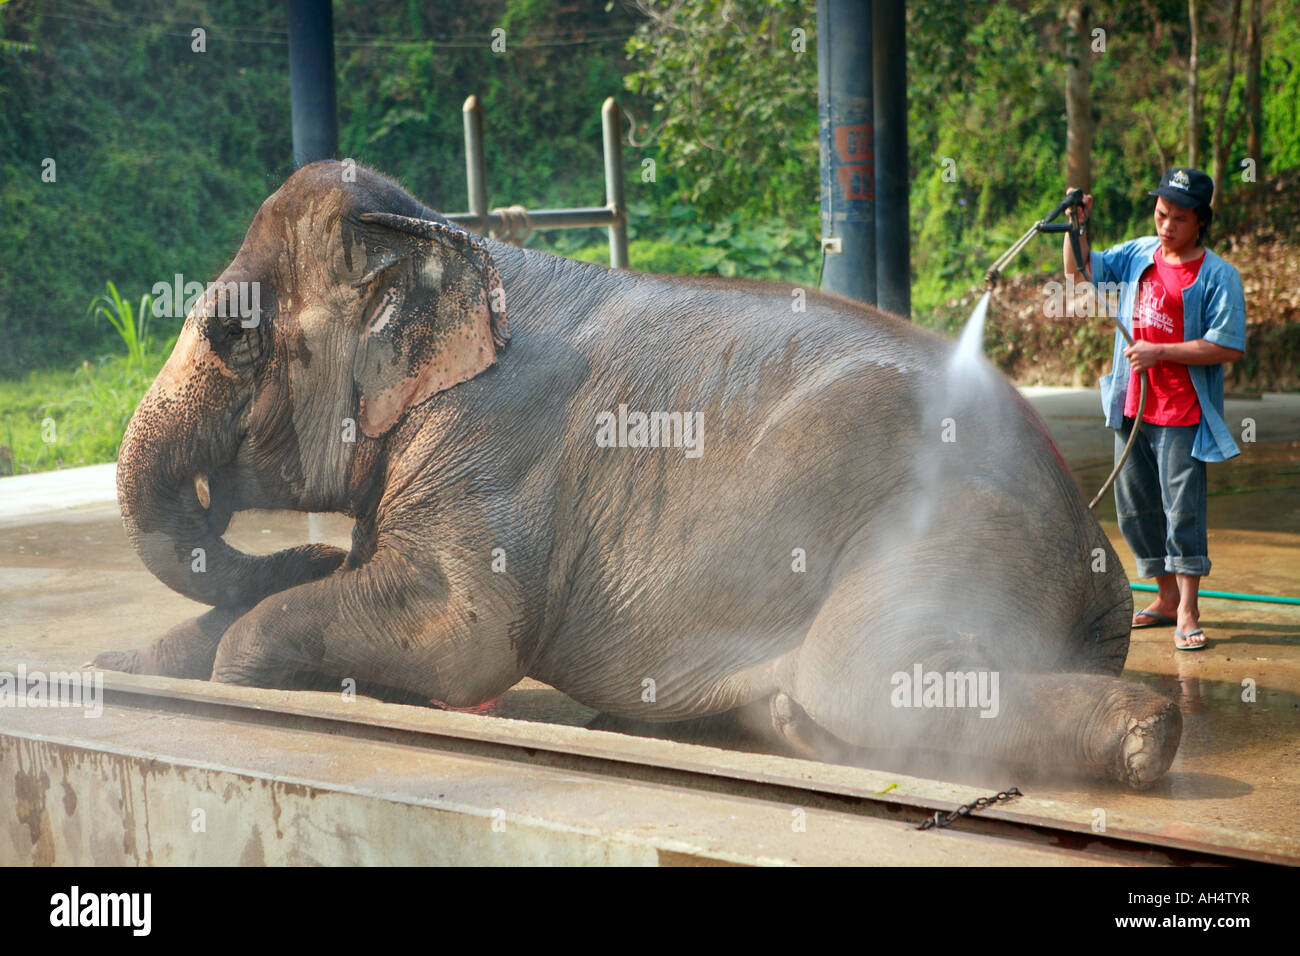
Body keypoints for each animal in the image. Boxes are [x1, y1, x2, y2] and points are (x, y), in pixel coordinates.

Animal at [98, 160, 1181, 789]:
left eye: (233, 335)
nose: (223, 507)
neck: (450, 240)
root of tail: (1092, 549)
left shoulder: (484, 450)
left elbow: (467, 638)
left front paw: (257, 679)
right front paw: (126, 669)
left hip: (952, 527)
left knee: (867, 673)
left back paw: (1148, 736)